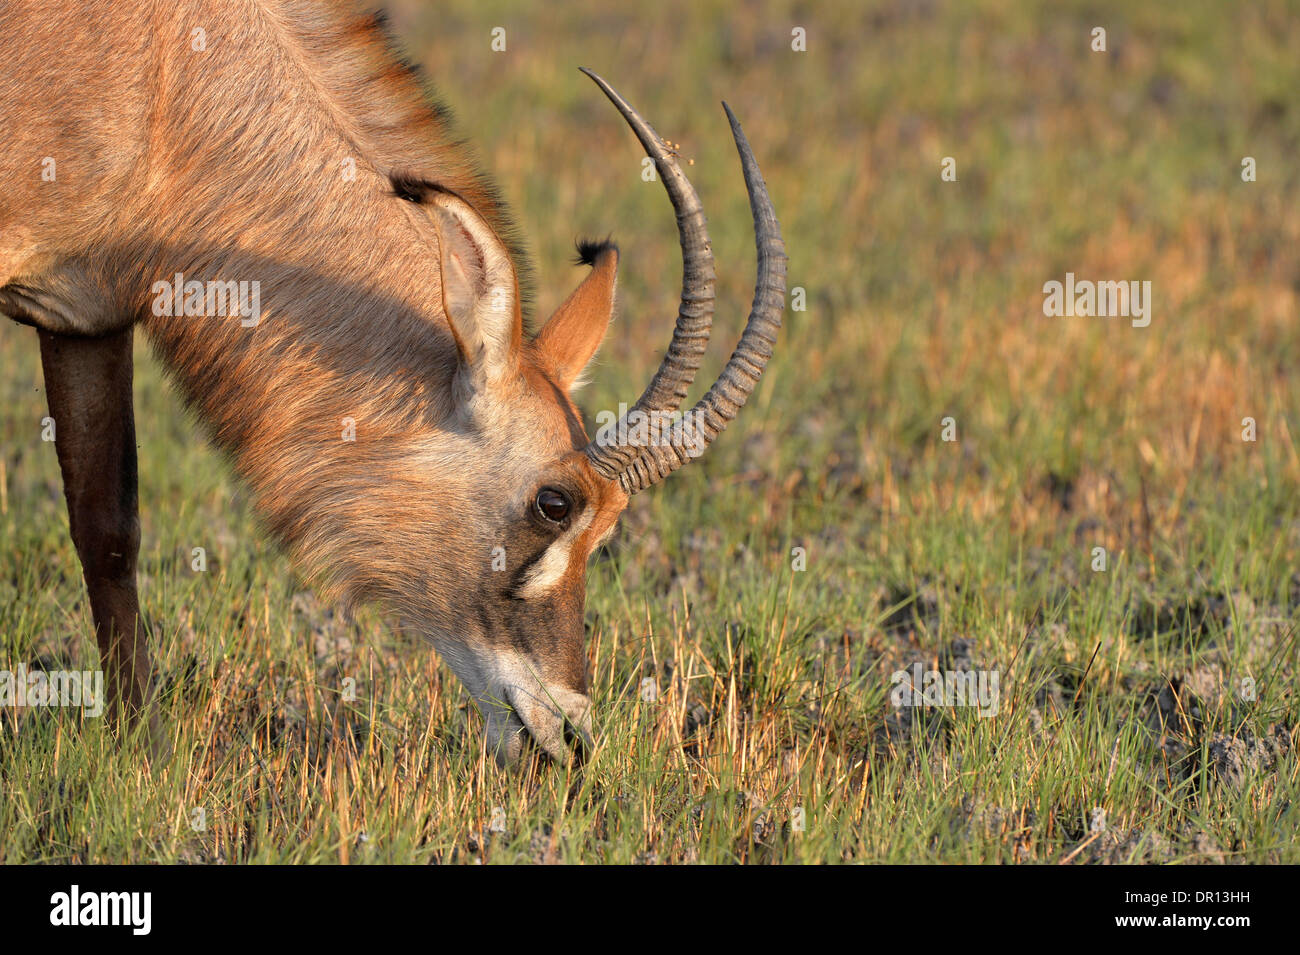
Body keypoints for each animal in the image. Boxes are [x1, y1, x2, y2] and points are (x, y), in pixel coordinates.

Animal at [0, 0, 785, 765]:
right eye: (555, 502)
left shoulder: (85, 316)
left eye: (611, 522)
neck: (169, 81)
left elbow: (108, 530)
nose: (569, 737)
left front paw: (143, 752)